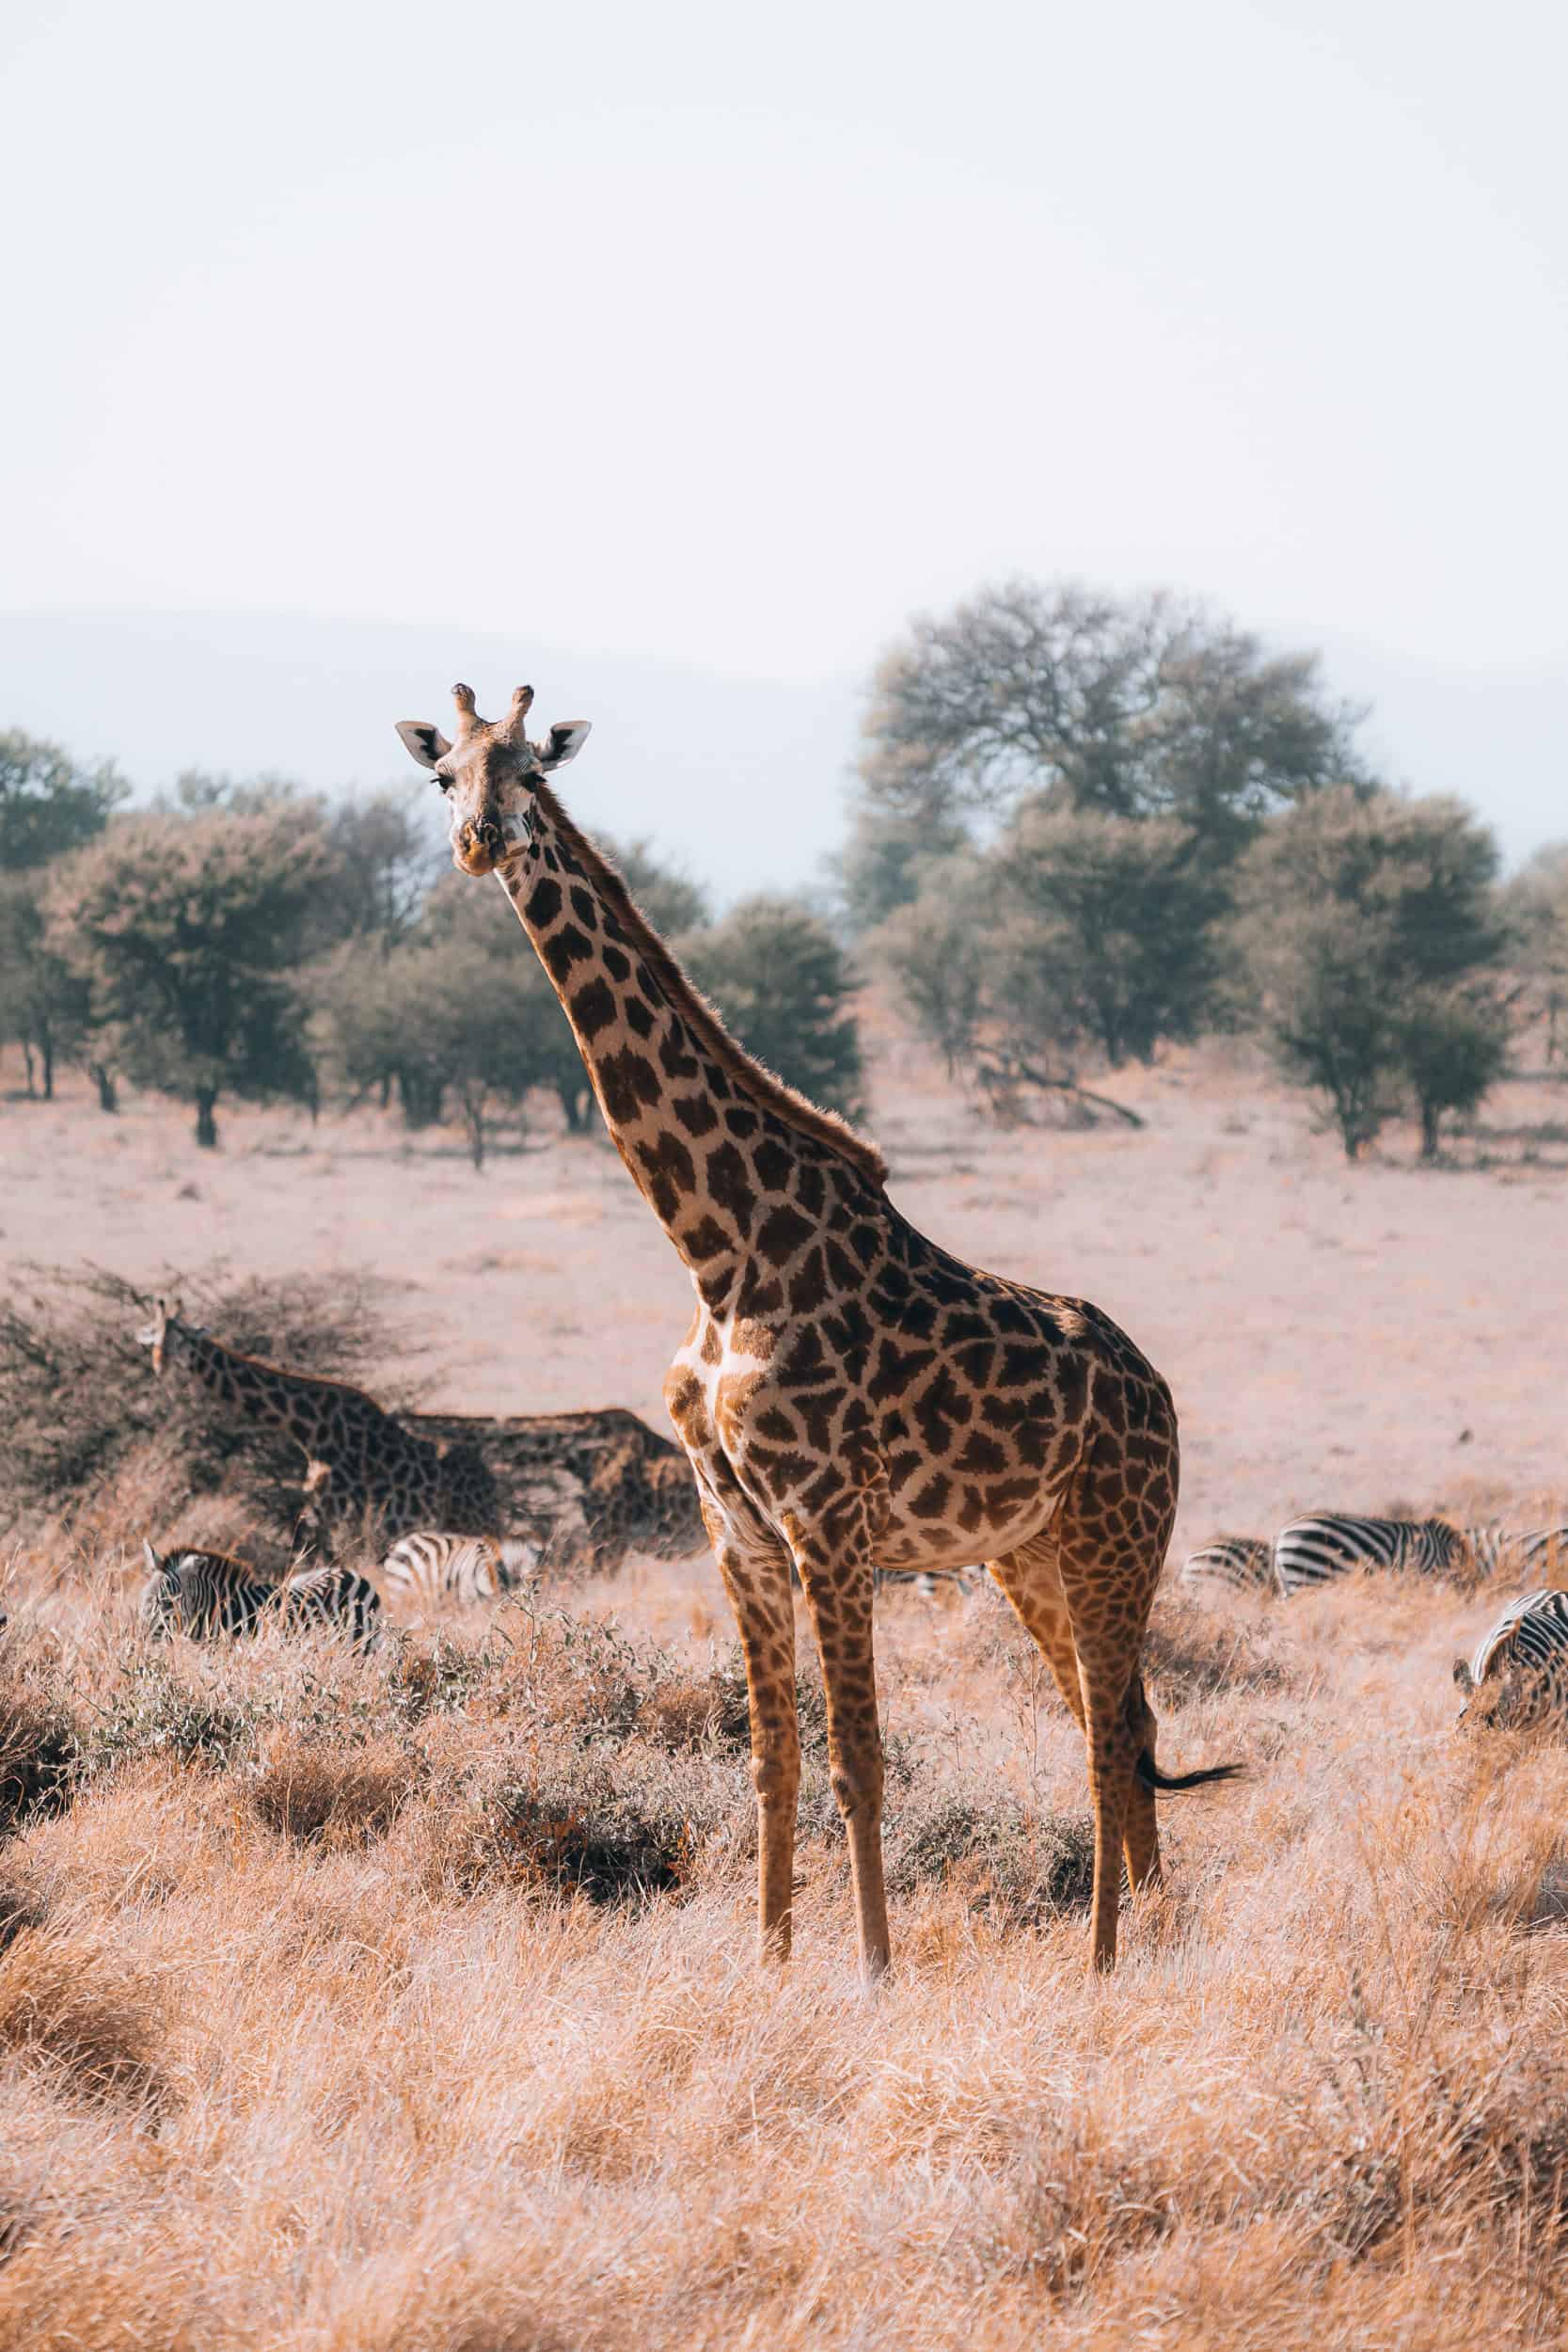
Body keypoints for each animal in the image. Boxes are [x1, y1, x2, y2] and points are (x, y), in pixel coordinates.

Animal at [137, 1301, 498, 1548]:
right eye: (153, 1338)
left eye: (183, 1337)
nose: (160, 1365)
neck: (310, 1430)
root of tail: (490, 1483)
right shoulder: (320, 1515)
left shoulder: (339, 1514)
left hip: (471, 1524)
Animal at [395, 682, 1237, 1977]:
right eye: (447, 777)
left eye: (533, 770)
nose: (483, 842)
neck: (717, 1248)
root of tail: (1156, 1393)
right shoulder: (733, 1531)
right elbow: (768, 1761)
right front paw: (771, 1965)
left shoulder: (828, 1523)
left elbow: (858, 1763)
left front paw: (874, 1978)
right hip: (1028, 1556)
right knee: (1122, 1719)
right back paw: (1144, 1938)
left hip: (1116, 1540)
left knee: (1107, 1738)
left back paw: (1101, 1966)